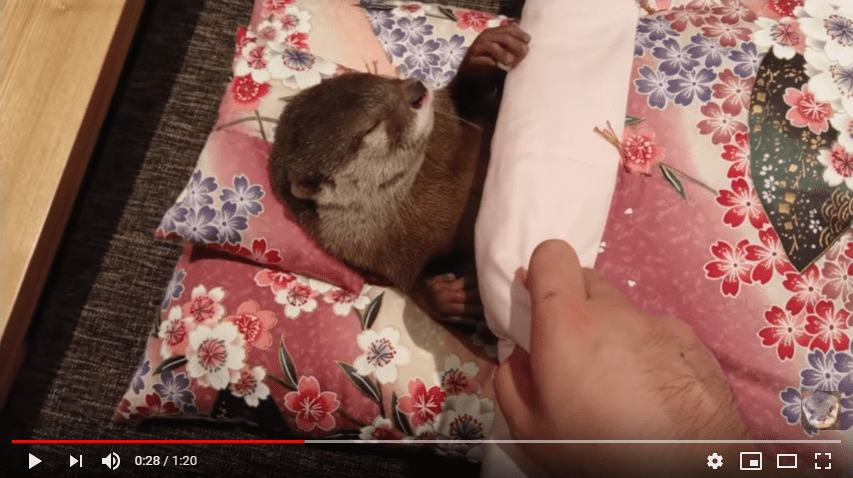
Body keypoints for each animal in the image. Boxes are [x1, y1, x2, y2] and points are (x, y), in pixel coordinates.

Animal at [268, 24, 530, 320]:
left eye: (374, 77)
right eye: (371, 127)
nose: (416, 87)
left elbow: (464, 99)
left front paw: (484, 50)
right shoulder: (387, 264)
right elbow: (417, 290)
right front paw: (447, 295)